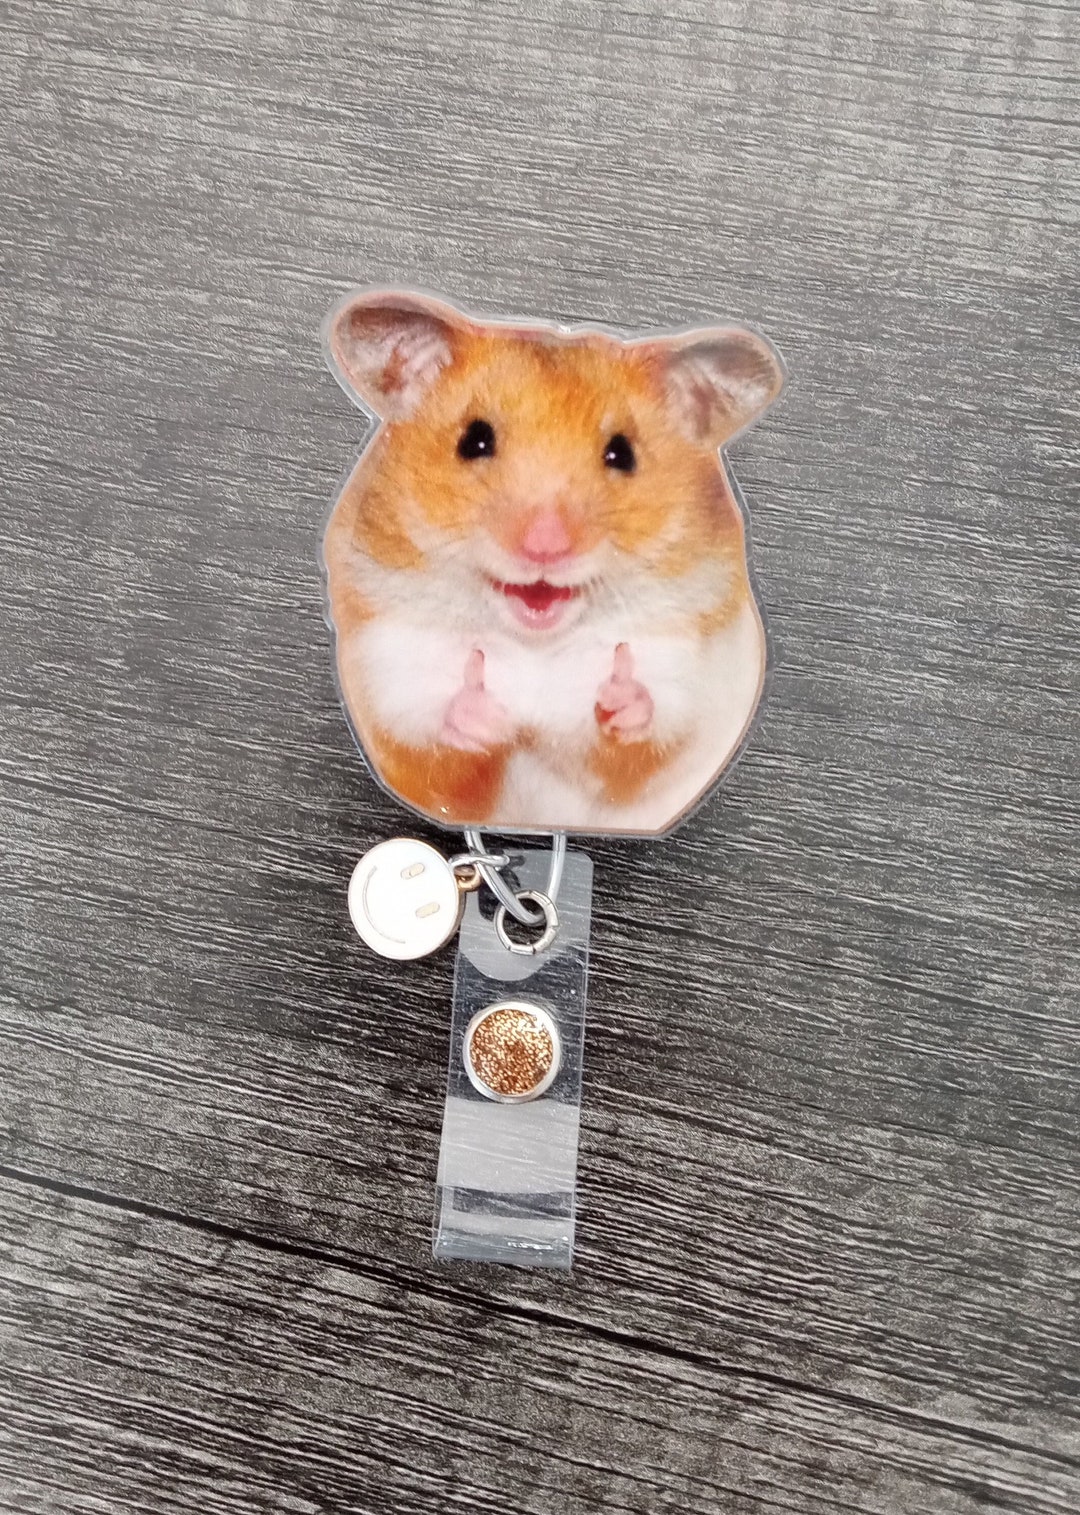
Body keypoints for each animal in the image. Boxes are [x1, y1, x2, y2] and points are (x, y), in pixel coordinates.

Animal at [321, 290, 783, 834]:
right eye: (474, 440)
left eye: (622, 453)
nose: (545, 546)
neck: (534, 646)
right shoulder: (387, 666)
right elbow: (434, 736)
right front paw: (487, 712)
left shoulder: (685, 668)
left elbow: (642, 734)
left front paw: (619, 692)